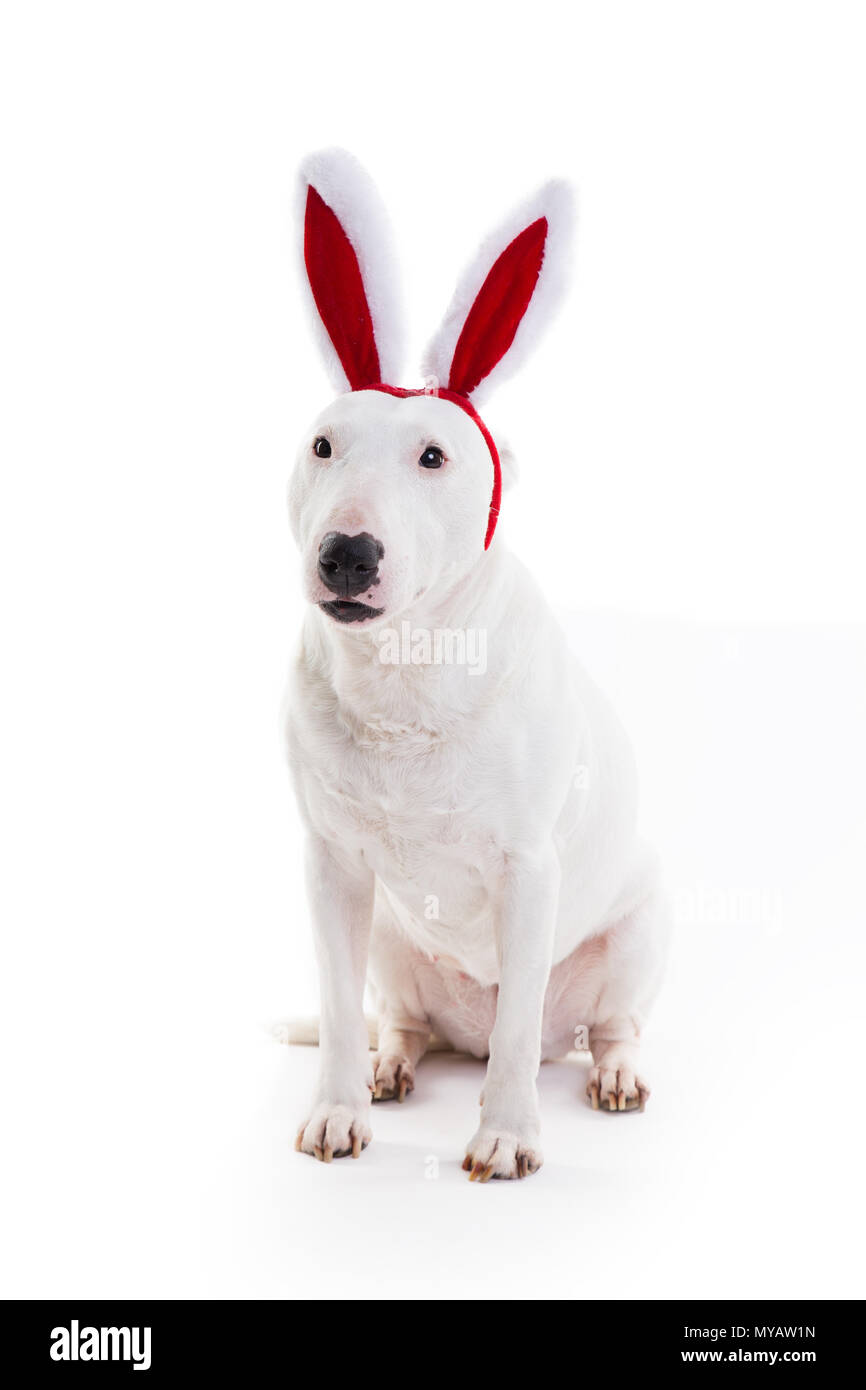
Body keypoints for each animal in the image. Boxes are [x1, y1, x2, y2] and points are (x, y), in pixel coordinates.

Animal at [286, 148, 669, 1180]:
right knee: (403, 1022)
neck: (406, 673)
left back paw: (613, 1073)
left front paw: (506, 1134)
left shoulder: (528, 871)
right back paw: (389, 1064)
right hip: (391, 940)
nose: (347, 555)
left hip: (636, 935)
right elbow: (335, 1006)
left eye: (434, 456)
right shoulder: (332, 868)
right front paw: (337, 1109)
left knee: (594, 1028)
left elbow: (520, 1031)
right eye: (322, 444)